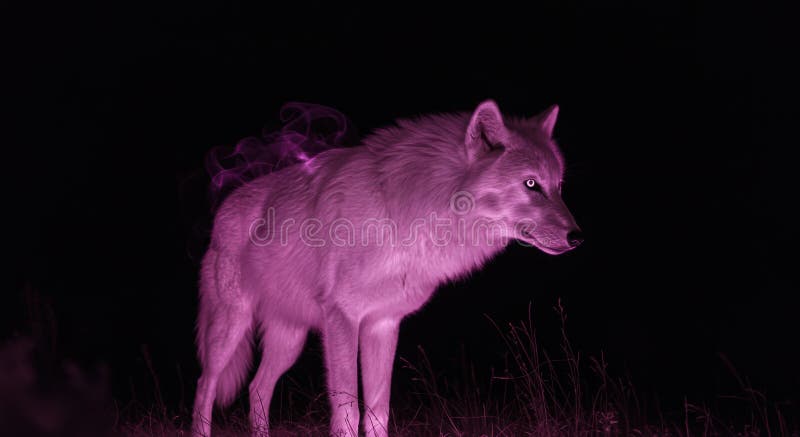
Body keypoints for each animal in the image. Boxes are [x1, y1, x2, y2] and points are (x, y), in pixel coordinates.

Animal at [192, 100, 582, 437]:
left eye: (558, 186)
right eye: (531, 184)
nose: (577, 237)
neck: (406, 213)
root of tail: (222, 211)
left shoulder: (383, 324)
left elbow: (379, 411)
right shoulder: (343, 318)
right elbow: (348, 410)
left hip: (290, 342)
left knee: (257, 388)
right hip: (232, 328)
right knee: (205, 385)